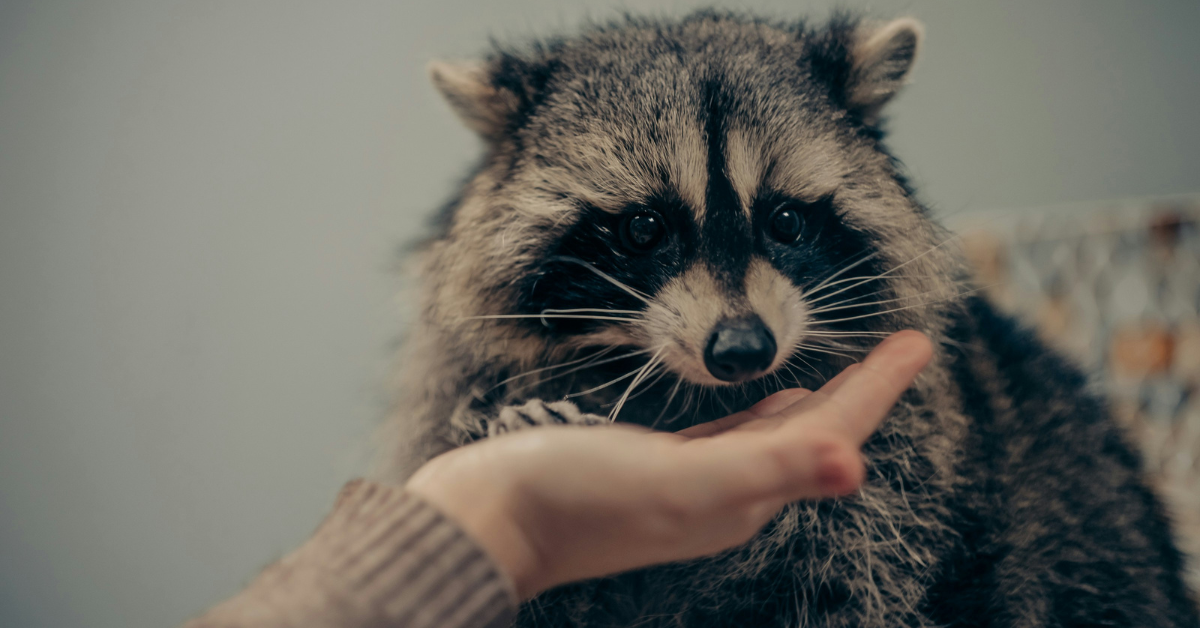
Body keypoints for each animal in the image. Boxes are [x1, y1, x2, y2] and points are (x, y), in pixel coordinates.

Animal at [379, 11, 1200, 628]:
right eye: (644, 228)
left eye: (785, 221)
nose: (743, 348)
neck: (689, 389)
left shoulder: (902, 495)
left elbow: (855, 590)